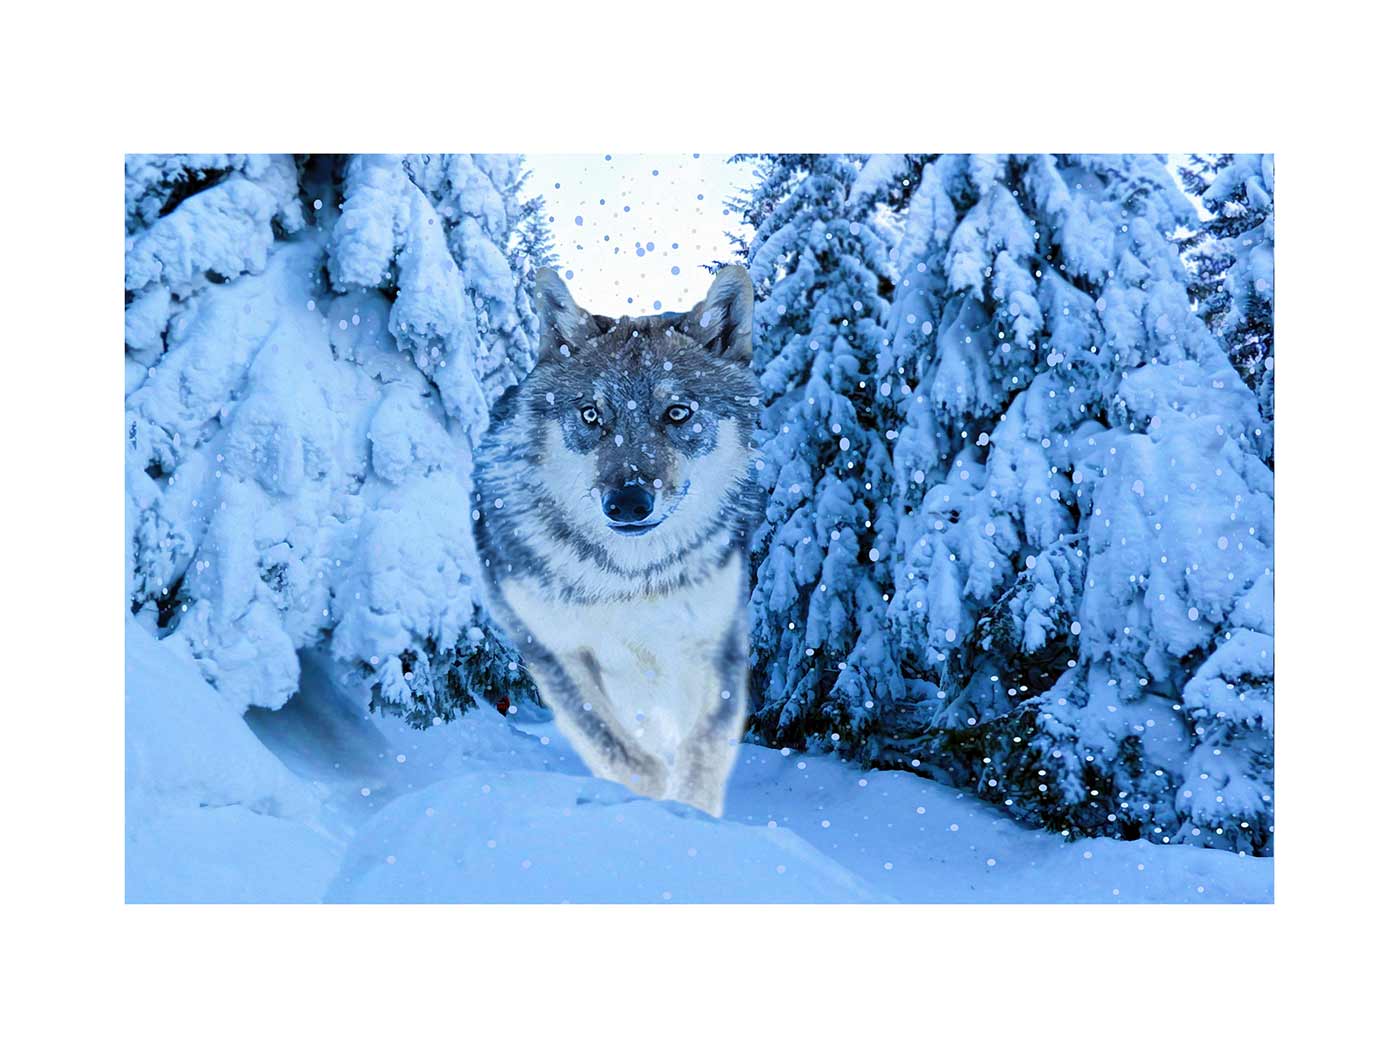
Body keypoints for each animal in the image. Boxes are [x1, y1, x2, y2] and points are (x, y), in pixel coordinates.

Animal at [472, 266, 762, 817]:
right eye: (591, 414)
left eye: (677, 413)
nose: (627, 503)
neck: (629, 577)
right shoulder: (554, 651)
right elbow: (618, 751)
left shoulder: (712, 643)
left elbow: (703, 748)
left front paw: (692, 814)